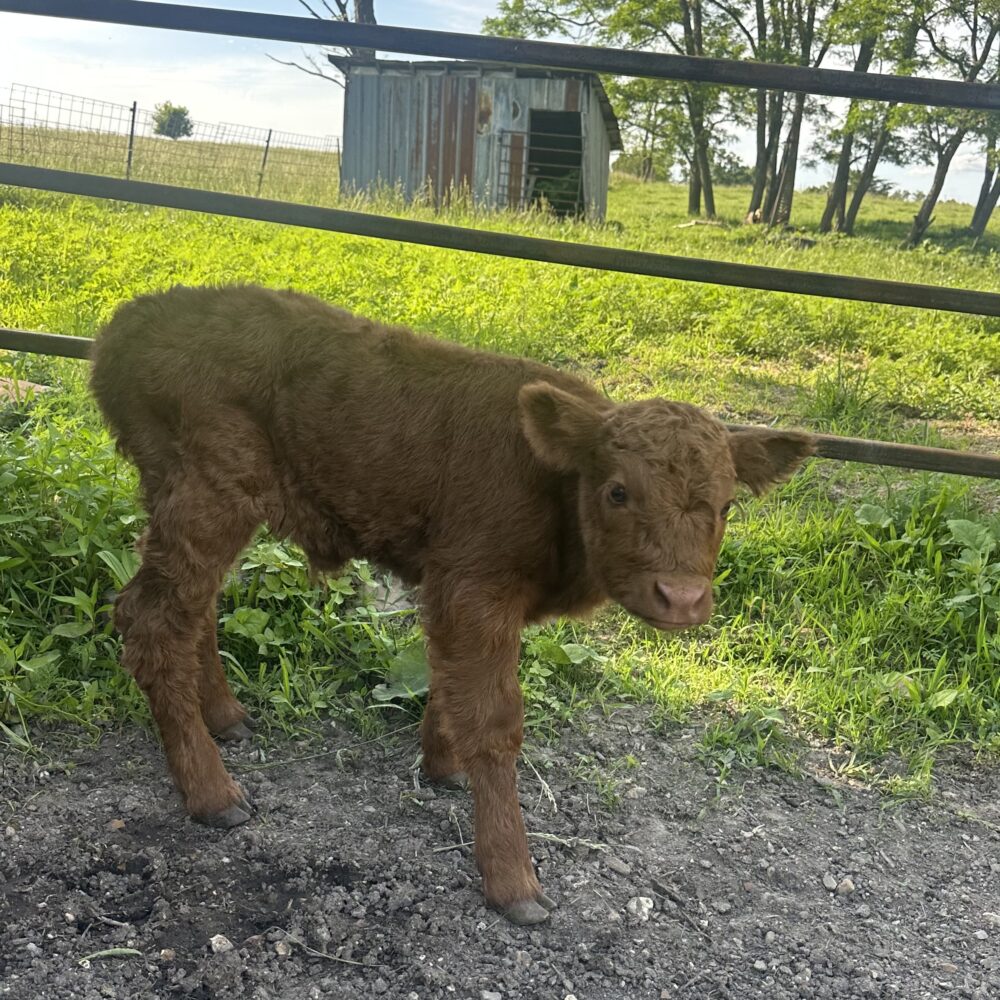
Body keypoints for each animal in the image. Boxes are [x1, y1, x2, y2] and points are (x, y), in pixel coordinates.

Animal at [90, 284, 814, 925]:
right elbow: (494, 719)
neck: (549, 479)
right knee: (152, 617)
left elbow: (449, 678)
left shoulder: (453, 590)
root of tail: (130, 321)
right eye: (617, 491)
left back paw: (226, 716)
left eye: (726, 505)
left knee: (195, 606)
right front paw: (514, 881)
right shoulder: (475, 588)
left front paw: (443, 766)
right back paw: (213, 794)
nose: (682, 597)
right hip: (207, 499)